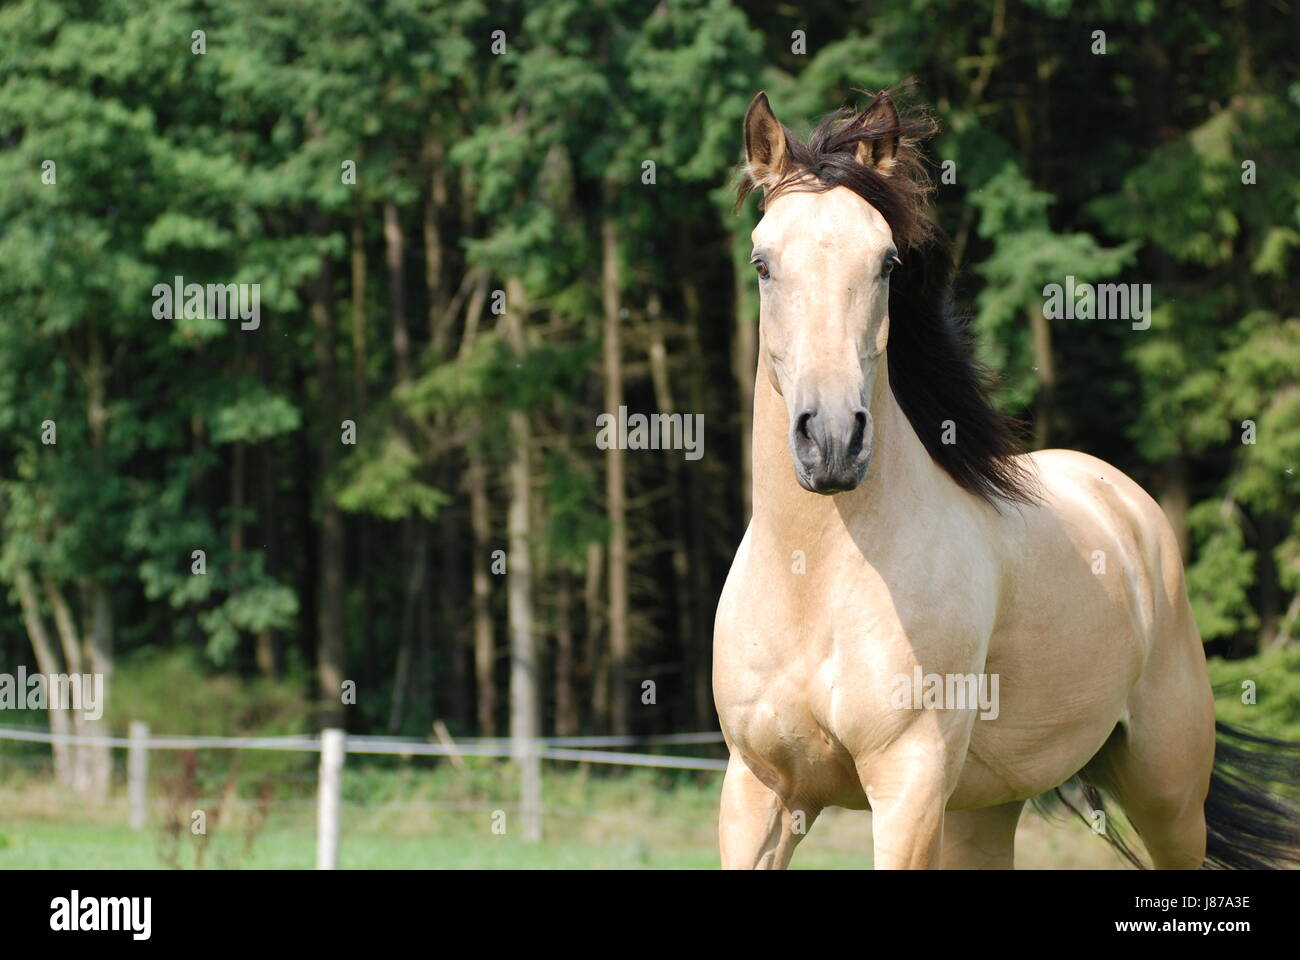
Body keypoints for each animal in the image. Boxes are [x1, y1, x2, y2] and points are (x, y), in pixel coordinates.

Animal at [712, 87, 1300, 869]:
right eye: (763, 263)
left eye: (887, 263)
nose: (832, 441)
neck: (813, 577)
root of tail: (1127, 505)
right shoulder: (759, 791)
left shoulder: (907, 786)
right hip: (985, 807)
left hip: (1168, 795)